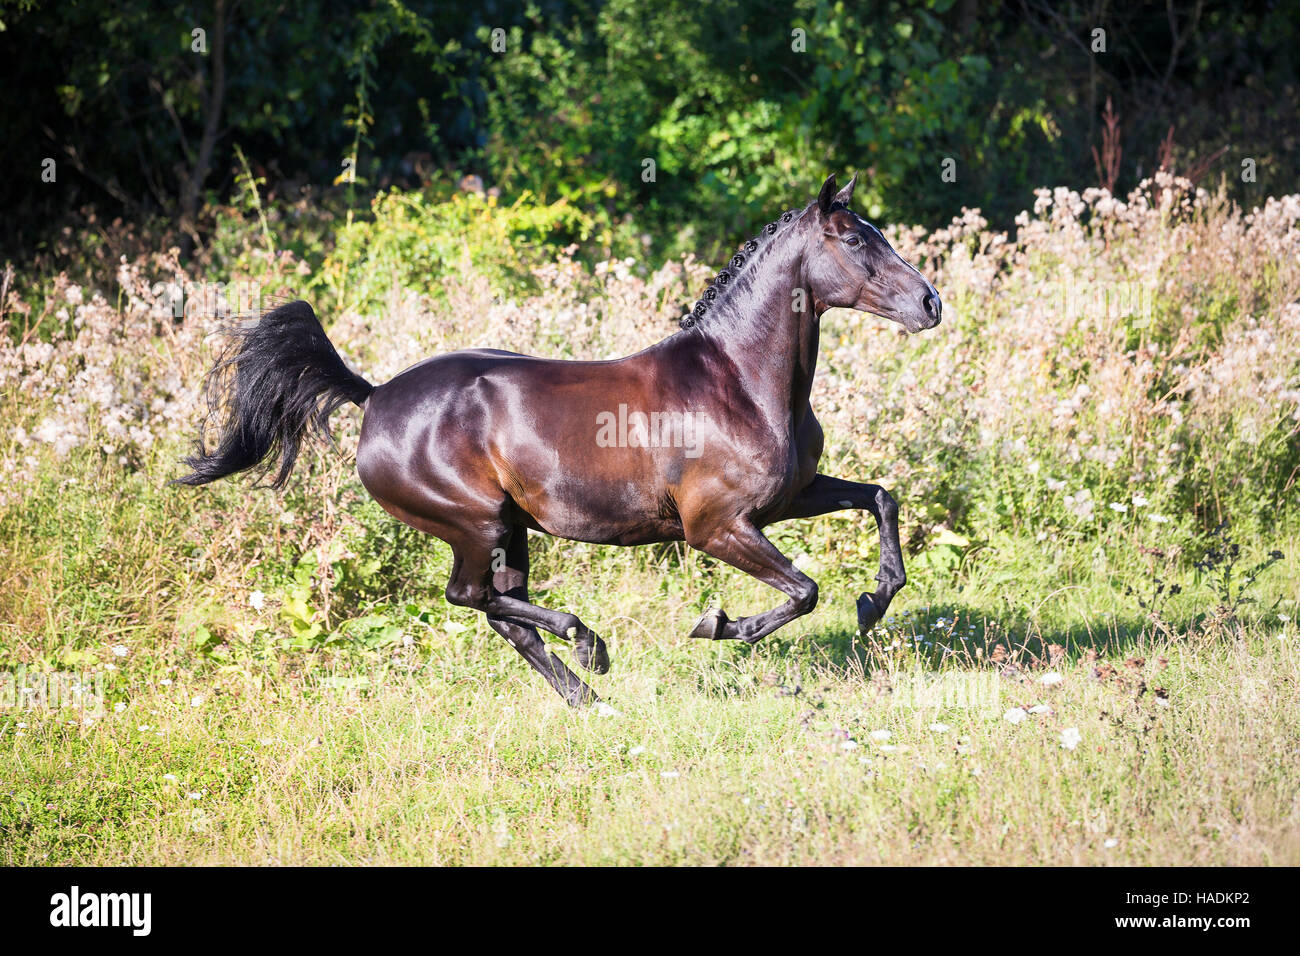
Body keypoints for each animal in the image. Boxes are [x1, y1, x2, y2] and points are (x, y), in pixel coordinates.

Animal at [177, 173, 942, 706]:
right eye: (855, 240)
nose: (931, 303)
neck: (740, 381)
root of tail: (374, 397)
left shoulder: (790, 497)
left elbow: (880, 497)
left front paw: (875, 601)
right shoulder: (717, 526)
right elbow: (804, 590)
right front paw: (718, 625)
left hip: (510, 529)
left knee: (500, 614)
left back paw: (587, 694)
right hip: (476, 523)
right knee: (469, 597)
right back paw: (588, 644)